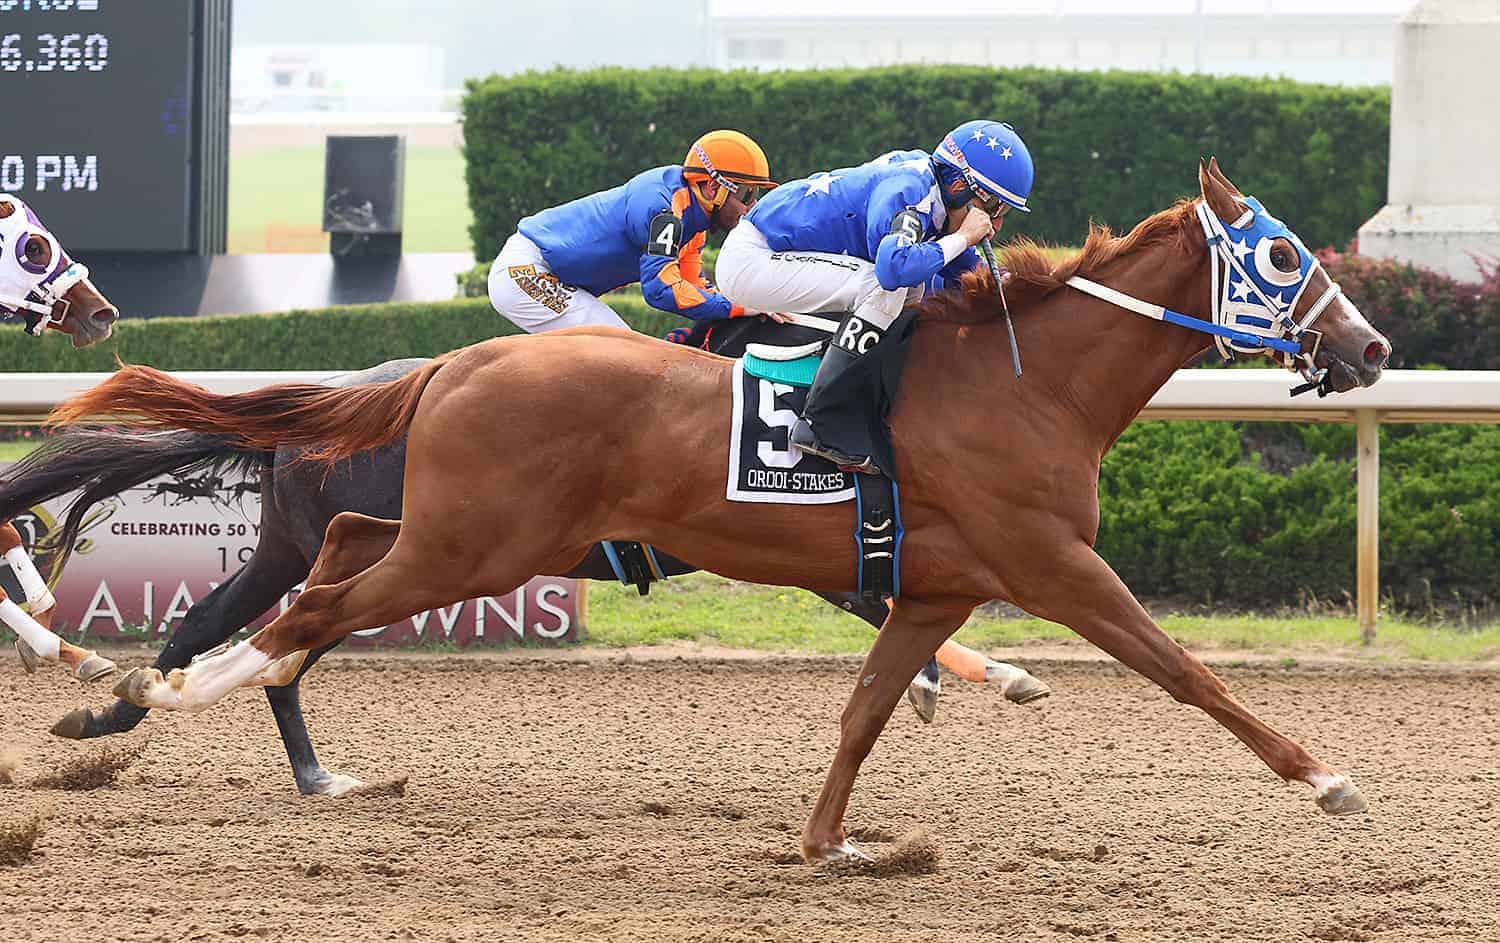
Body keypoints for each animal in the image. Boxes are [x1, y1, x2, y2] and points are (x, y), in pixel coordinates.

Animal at [48, 160, 1391, 862]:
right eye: (1281, 257)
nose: (1373, 348)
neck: (1024, 380)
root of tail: (453, 363)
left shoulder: (934, 584)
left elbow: (864, 711)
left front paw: (829, 842)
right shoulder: (1052, 563)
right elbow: (1185, 670)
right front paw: (1328, 779)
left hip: (468, 533)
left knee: (329, 565)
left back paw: (177, 709)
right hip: (474, 544)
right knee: (299, 614)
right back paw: (168, 693)